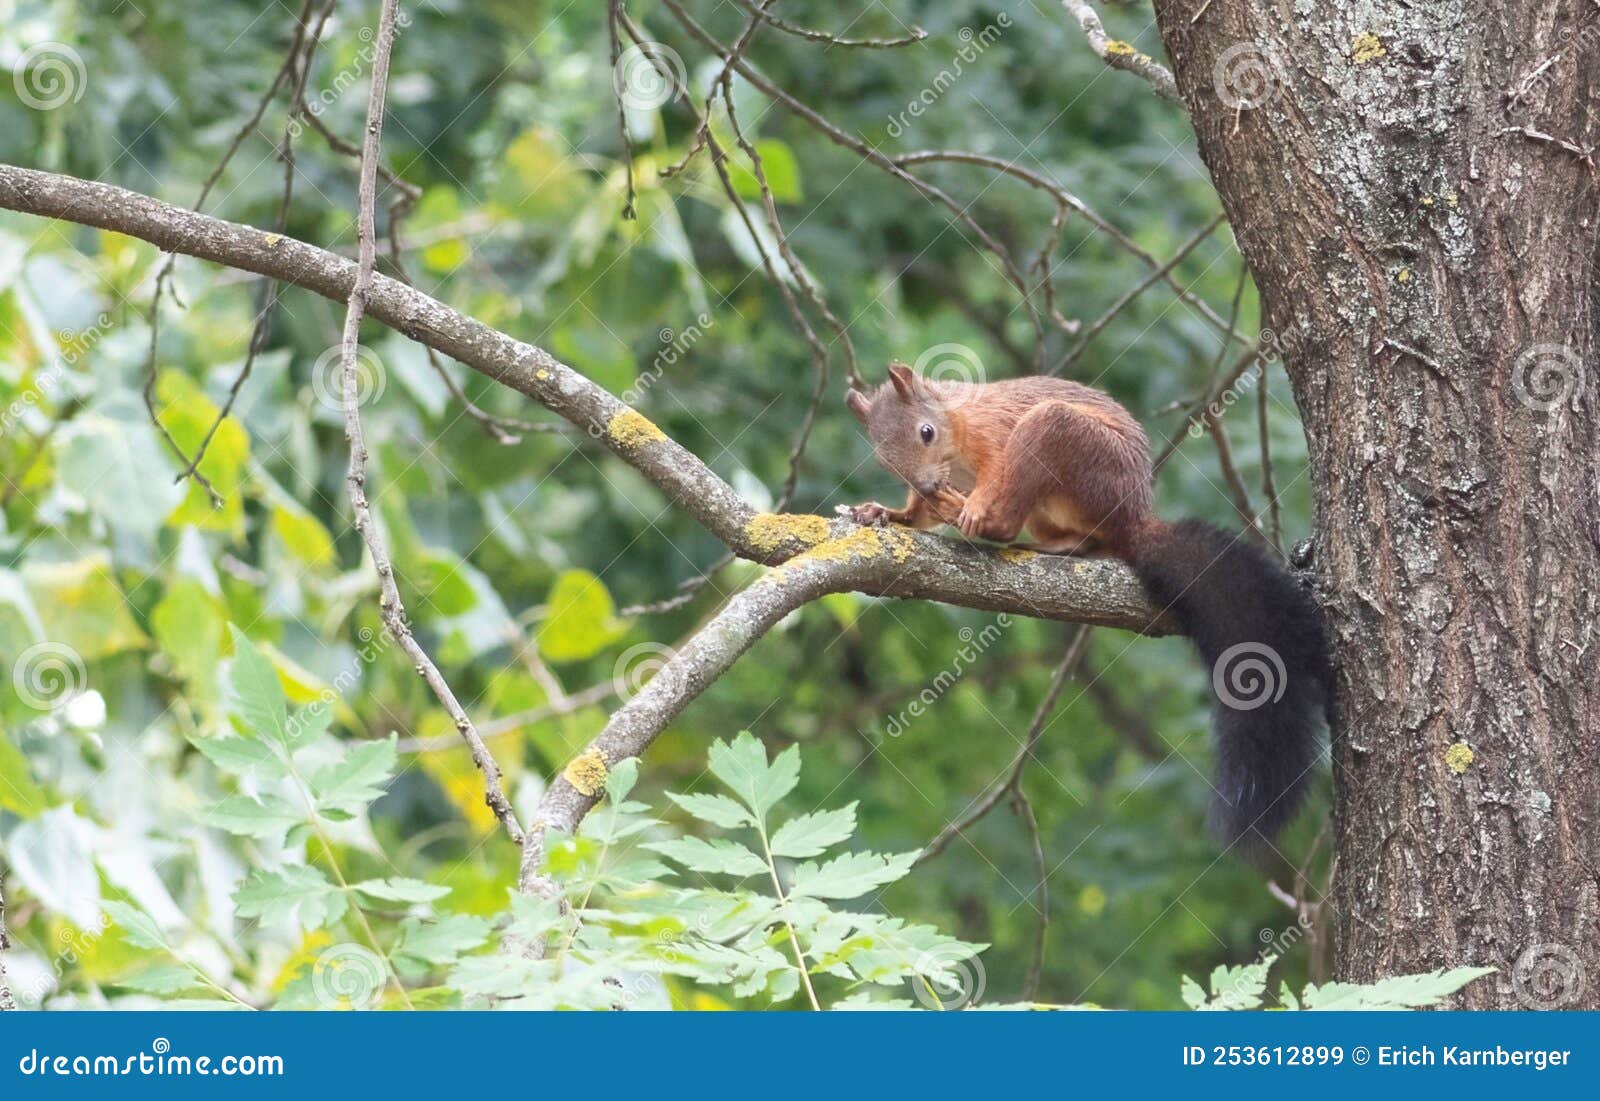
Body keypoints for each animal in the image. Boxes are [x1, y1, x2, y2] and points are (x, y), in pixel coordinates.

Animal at [842, 361, 1331, 848]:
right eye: (883, 458)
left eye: (926, 433)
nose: (926, 484)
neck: (956, 431)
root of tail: (1134, 519)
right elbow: (918, 514)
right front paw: (889, 513)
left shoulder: (993, 434)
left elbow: (993, 473)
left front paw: (969, 505)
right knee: (1083, 540)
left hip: (1062, 436)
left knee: (1016, 519)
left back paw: (985, 519)